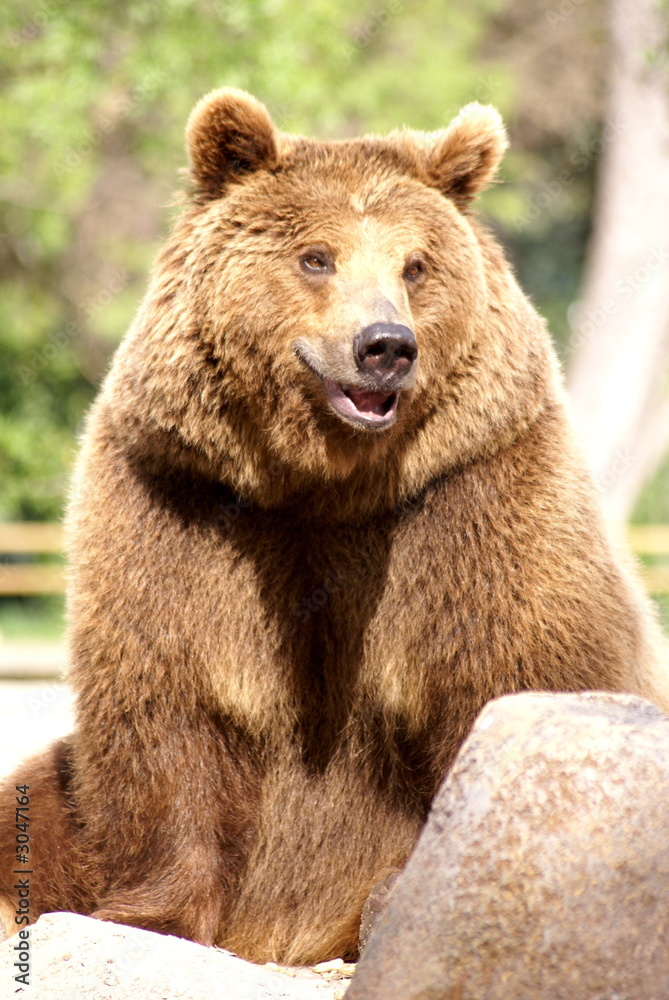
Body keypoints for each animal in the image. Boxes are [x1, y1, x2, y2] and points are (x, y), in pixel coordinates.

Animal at [1, 87, 668, 965]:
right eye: (315, 256)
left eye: (415, 265)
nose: (384, 346)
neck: (323, 484)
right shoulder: (183, 502)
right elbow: (172, 705)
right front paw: (151, 915)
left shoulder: (471, 497)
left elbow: (514, 679)